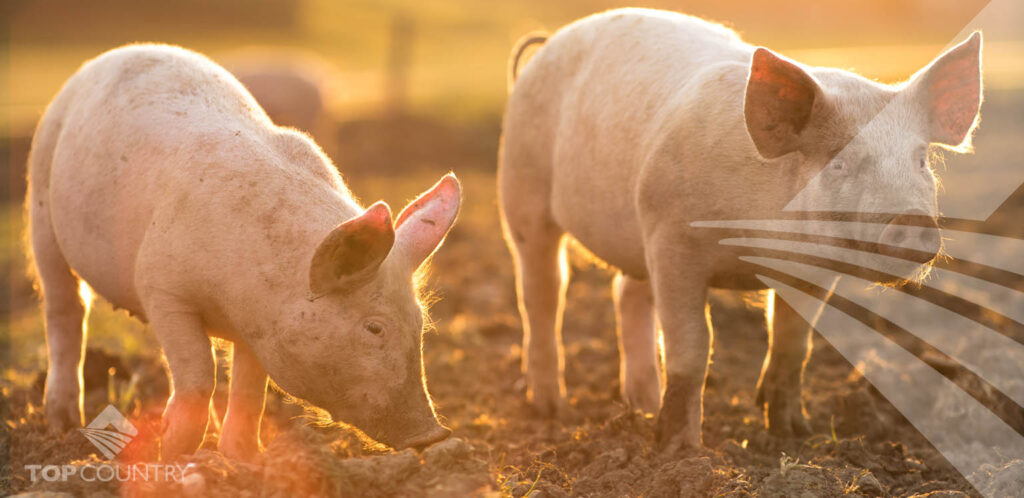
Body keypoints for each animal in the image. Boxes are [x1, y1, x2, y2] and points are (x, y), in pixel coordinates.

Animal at [28, 44, 460, 460]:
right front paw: (175, 456)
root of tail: (120, 52)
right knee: (65, 309)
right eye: (374, 327)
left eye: (420, 323)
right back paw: (63, 424)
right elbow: (199, 375)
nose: (434, 434)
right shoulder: (161, 288)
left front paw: (245, 460)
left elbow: (250, 391)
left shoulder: (260, 329)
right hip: (42, 203)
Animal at [498, 8, 981, 452]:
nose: (912, 222)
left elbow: (793, 346)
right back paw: (551, 410)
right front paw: (679, 452)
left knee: (626, 293)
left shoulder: (812, 270)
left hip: (635, 232)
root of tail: (549, 43)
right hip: (522, 191)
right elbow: (693, 348)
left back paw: (641, 406)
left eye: (921, 160)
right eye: (839, 162)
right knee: (543, 294)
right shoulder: (673, 241)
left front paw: (793, 435)